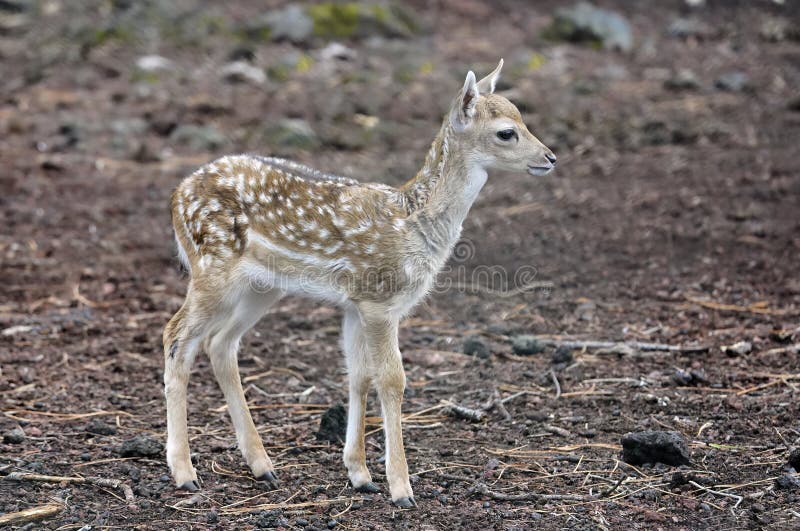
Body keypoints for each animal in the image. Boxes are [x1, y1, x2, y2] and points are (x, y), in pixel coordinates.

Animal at [162, 59, 556, 508]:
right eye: (507, 131)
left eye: (523, 118)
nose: (550, 157)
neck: (414, 222)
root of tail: (176, 195)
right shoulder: (378, 299)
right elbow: (392, 379)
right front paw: (401, 488)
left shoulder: (355, 303)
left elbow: (358, 375)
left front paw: (360, 474)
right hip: (212, 267)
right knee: (176, 336)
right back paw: (184, 473)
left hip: (261, 287)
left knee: (220, 344)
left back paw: (262, 466)